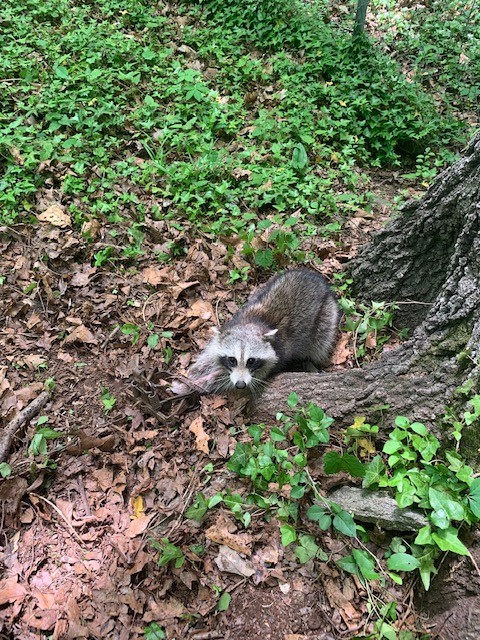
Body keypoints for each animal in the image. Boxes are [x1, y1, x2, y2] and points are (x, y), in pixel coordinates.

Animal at [174, 268, 339, 396]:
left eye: (251, 360)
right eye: (232, 359)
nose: (240, 385)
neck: (252, 324)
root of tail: (317, 278)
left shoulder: (277, 357)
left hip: (327, 315)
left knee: (320, 344)